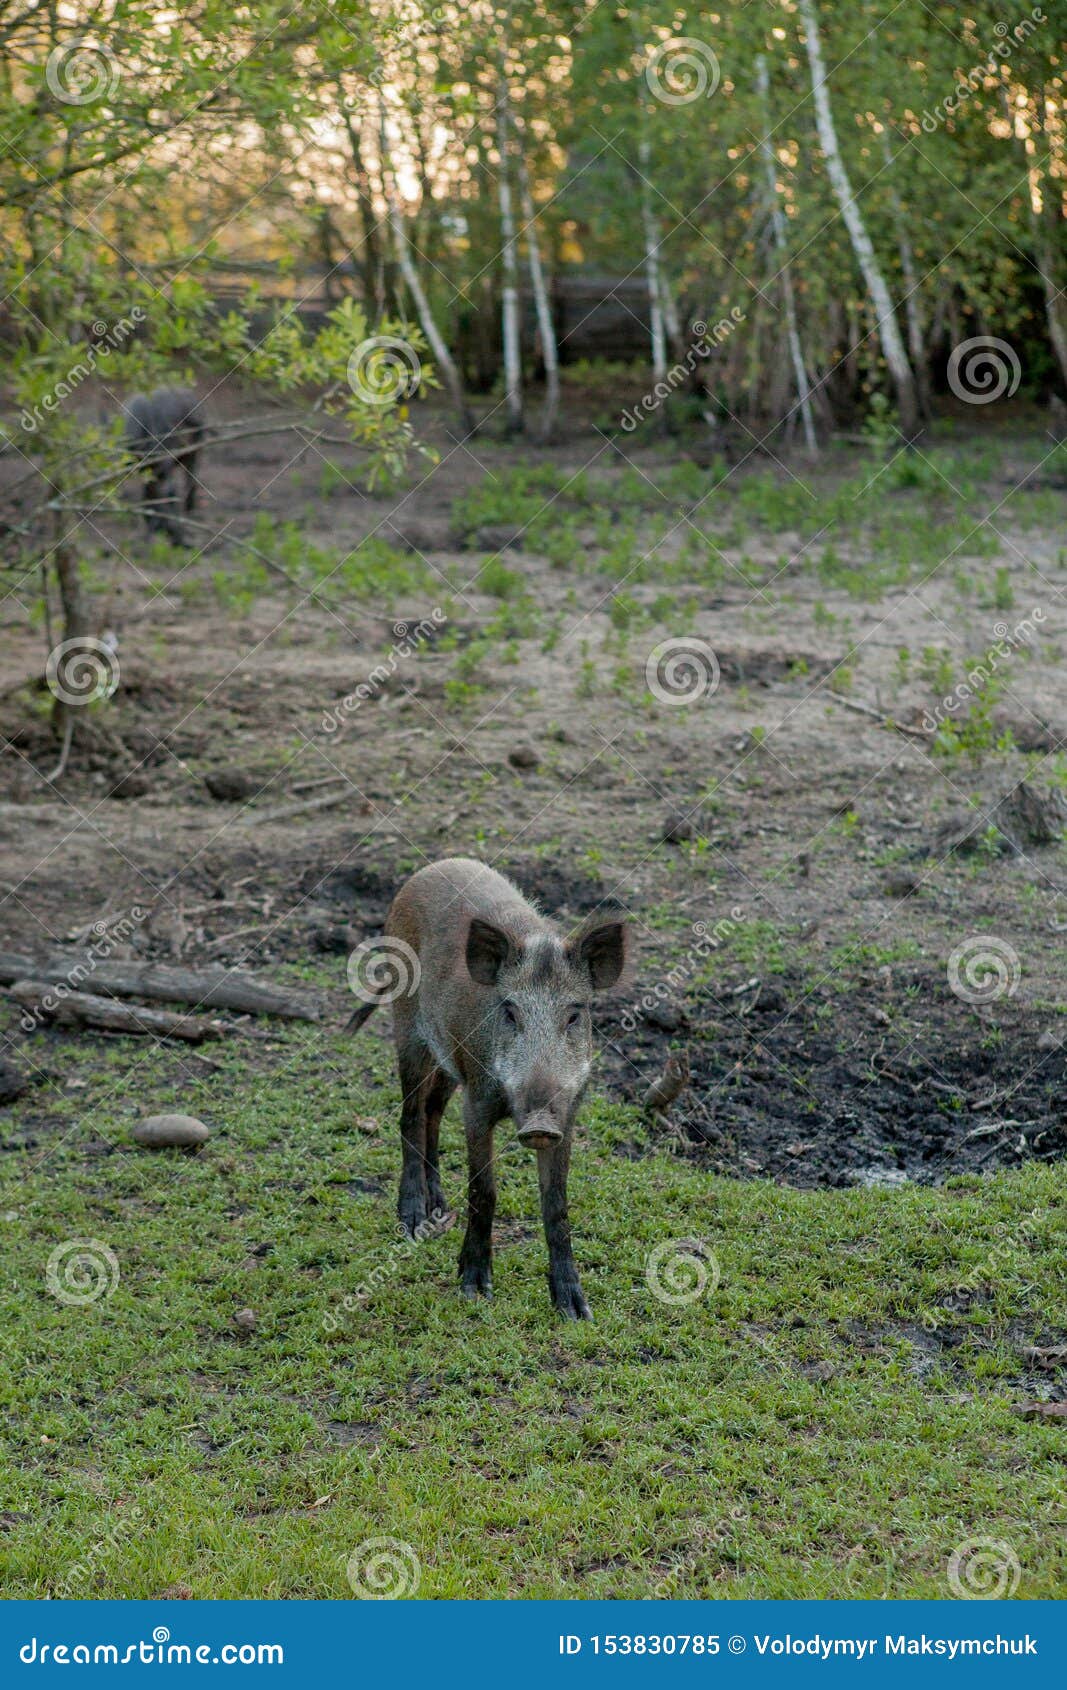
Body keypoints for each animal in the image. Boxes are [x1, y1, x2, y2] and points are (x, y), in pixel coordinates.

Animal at [348, 857, 630, 1319]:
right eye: (510, 1011)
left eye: (575, 1014)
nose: (538, 1124)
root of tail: (431, 868)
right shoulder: (478, 1104)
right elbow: (485, 1190)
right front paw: (475, 1287)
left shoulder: (567, 1117)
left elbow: (557, 1203)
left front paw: (575, 1310)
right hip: (408, 1030)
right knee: (410, 1114)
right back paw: (413, 1222)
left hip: (448, 1060)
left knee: (432, 1112)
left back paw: (438, 1211)